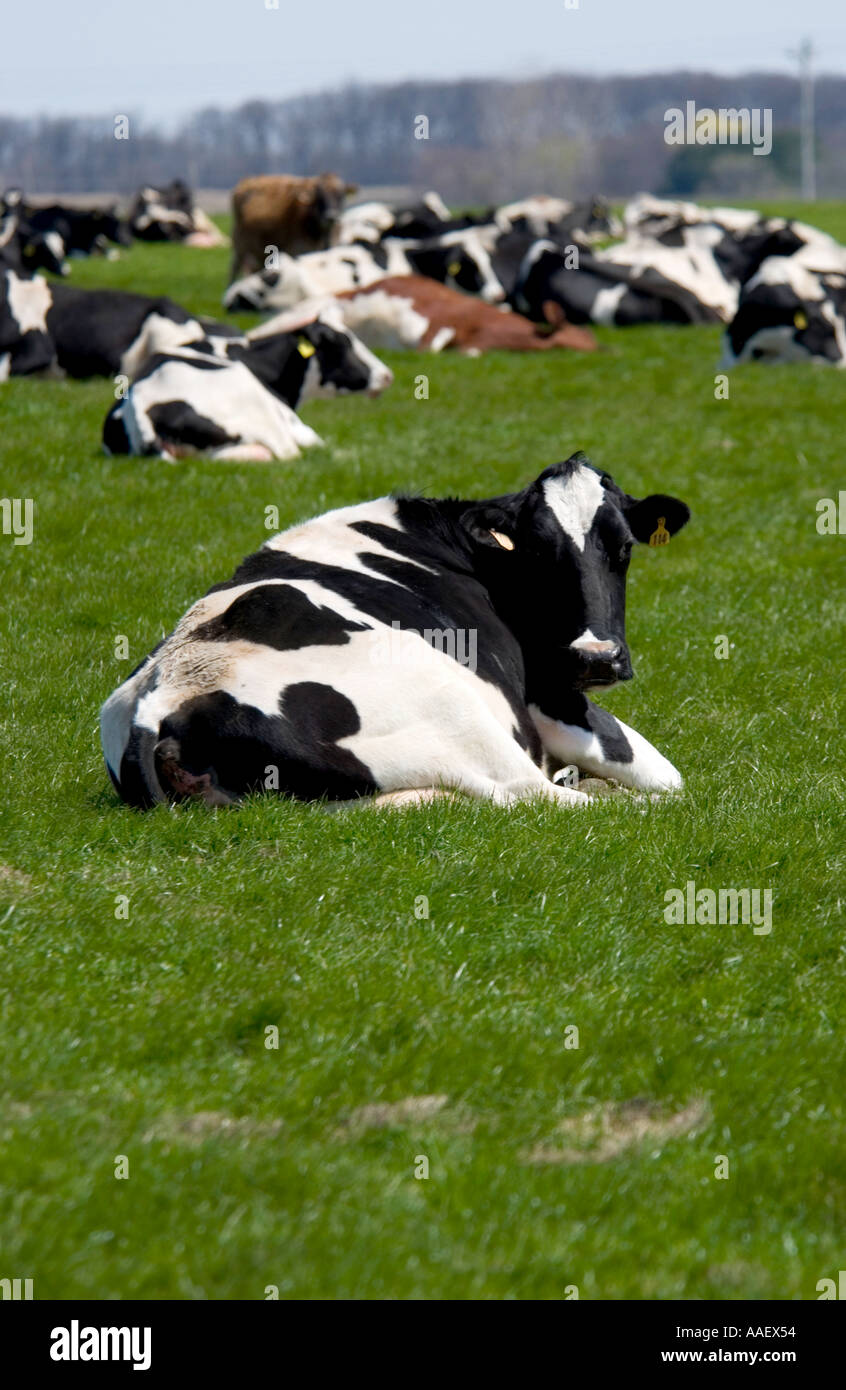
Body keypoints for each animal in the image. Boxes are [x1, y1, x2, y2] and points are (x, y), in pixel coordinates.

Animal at [99, 451, 690, 810]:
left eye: (624, 547)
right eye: (539, 554)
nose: (597, 657)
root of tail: (163, 703)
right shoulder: (555, 698)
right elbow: (669, 779)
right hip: (457, 708)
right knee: (554, 796)